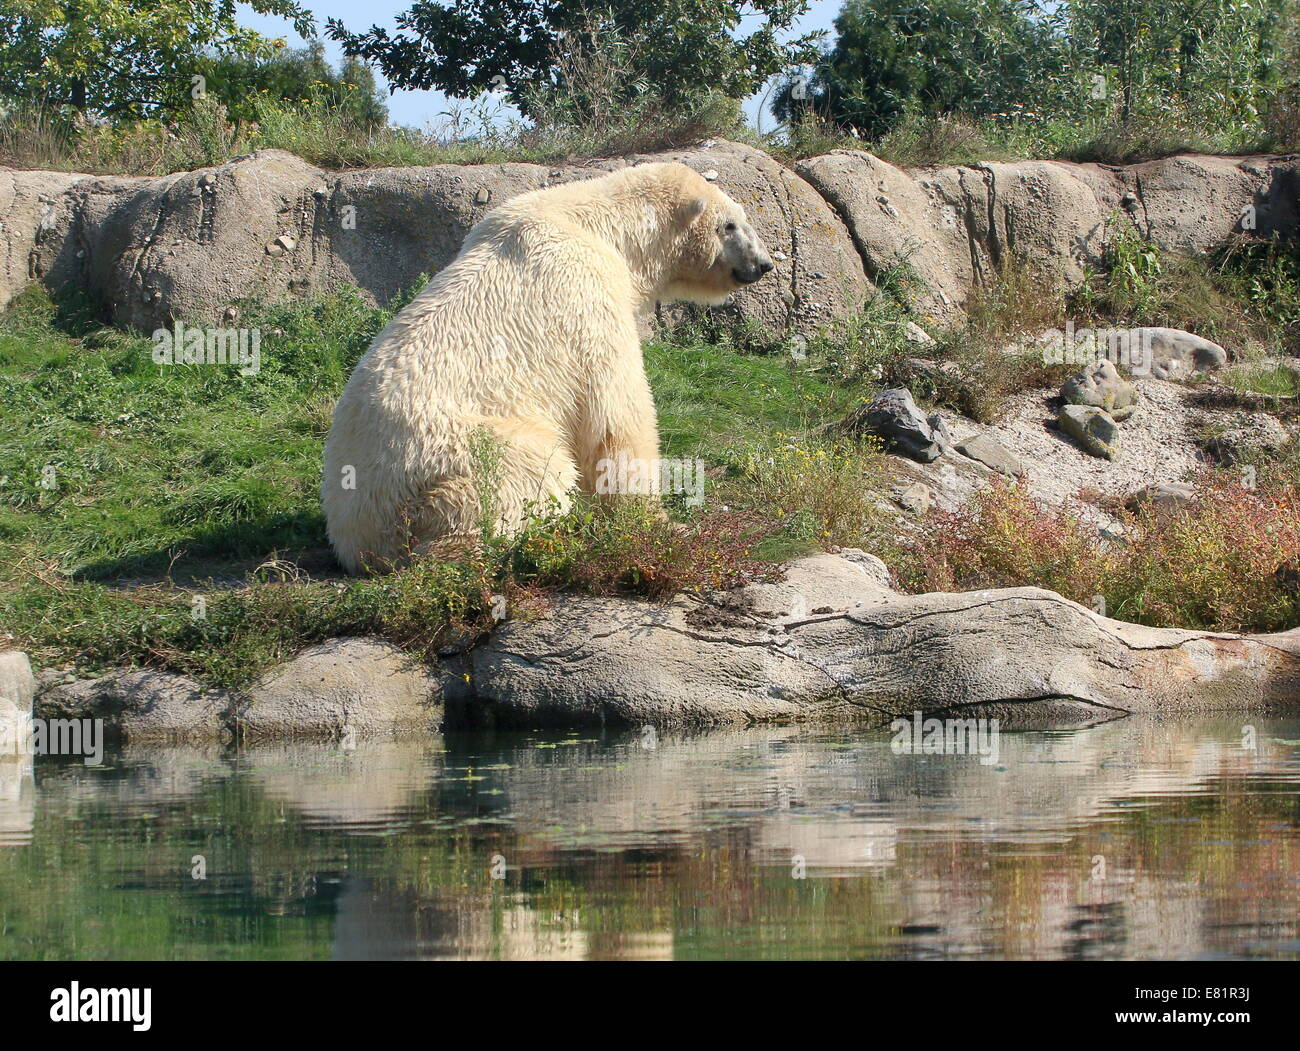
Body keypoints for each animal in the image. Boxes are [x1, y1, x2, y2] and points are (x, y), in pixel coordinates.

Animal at [321, 162, 774, 574]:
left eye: (741, 219)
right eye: (730, 225)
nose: (765, 265)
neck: (604, 228)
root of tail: (358, 538)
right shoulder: (590, 299)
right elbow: (616, 416)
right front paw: (660, 522)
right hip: (456, 454)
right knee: (525, 477)